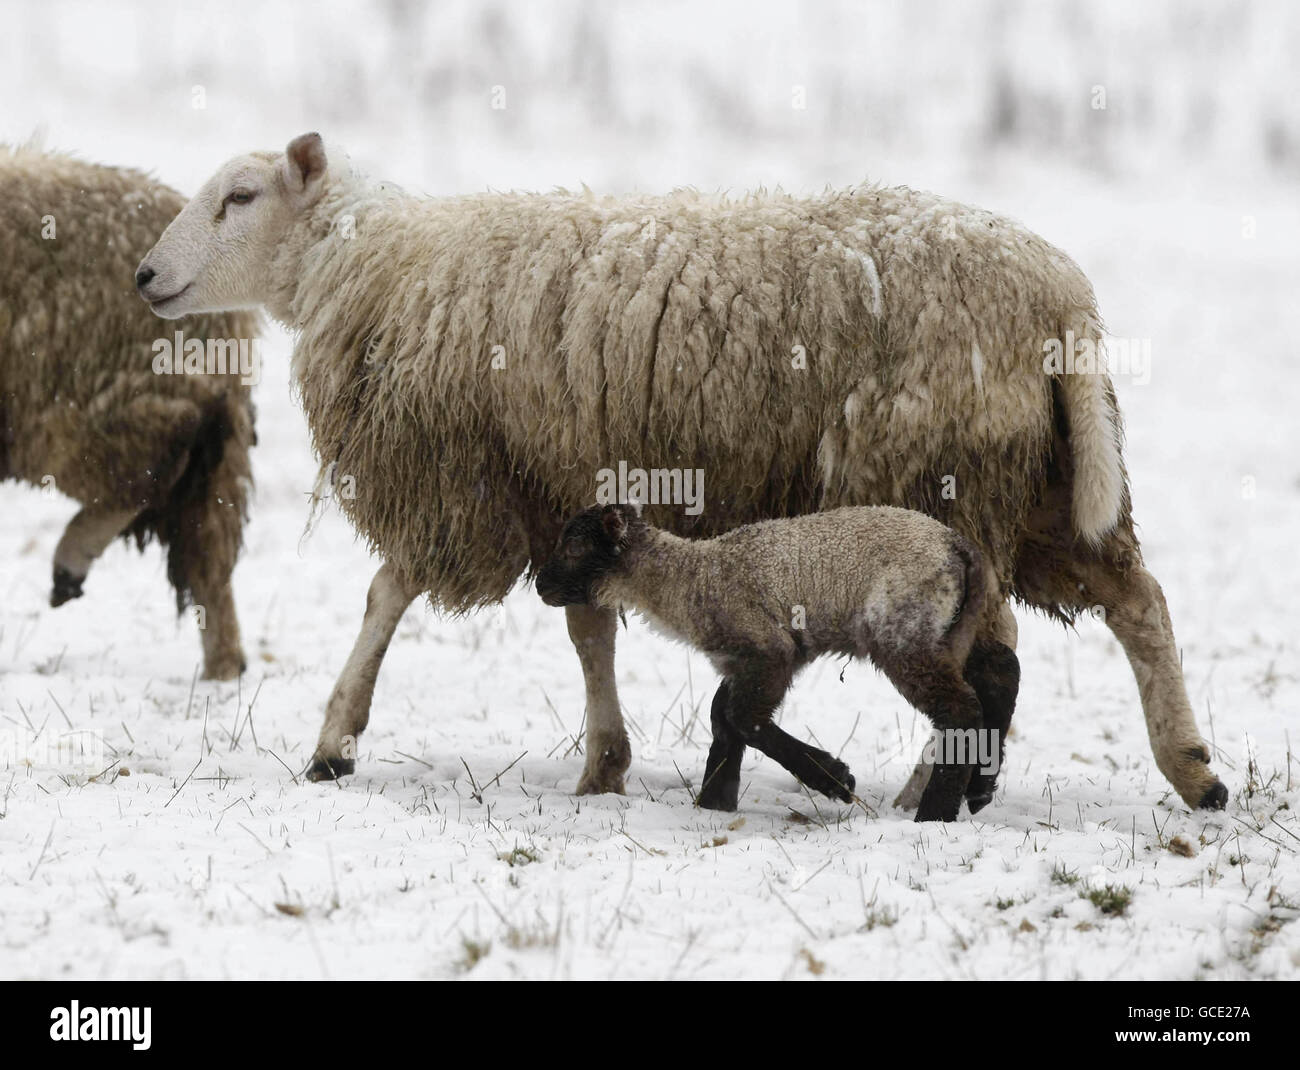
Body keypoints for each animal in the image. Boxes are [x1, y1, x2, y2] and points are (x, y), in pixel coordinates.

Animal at [537, 503, 1000, 820]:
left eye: (574, 547)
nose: (540, 584)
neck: (688, 580)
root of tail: (959, 547)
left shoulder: (770, 649)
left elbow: (743, 719)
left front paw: (835, 778)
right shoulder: (752, 660)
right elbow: (723, 716)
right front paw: (715, 802)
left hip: (904, 633)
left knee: (961, 709)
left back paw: (935, 812)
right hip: (951, 632)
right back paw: (975, 790)